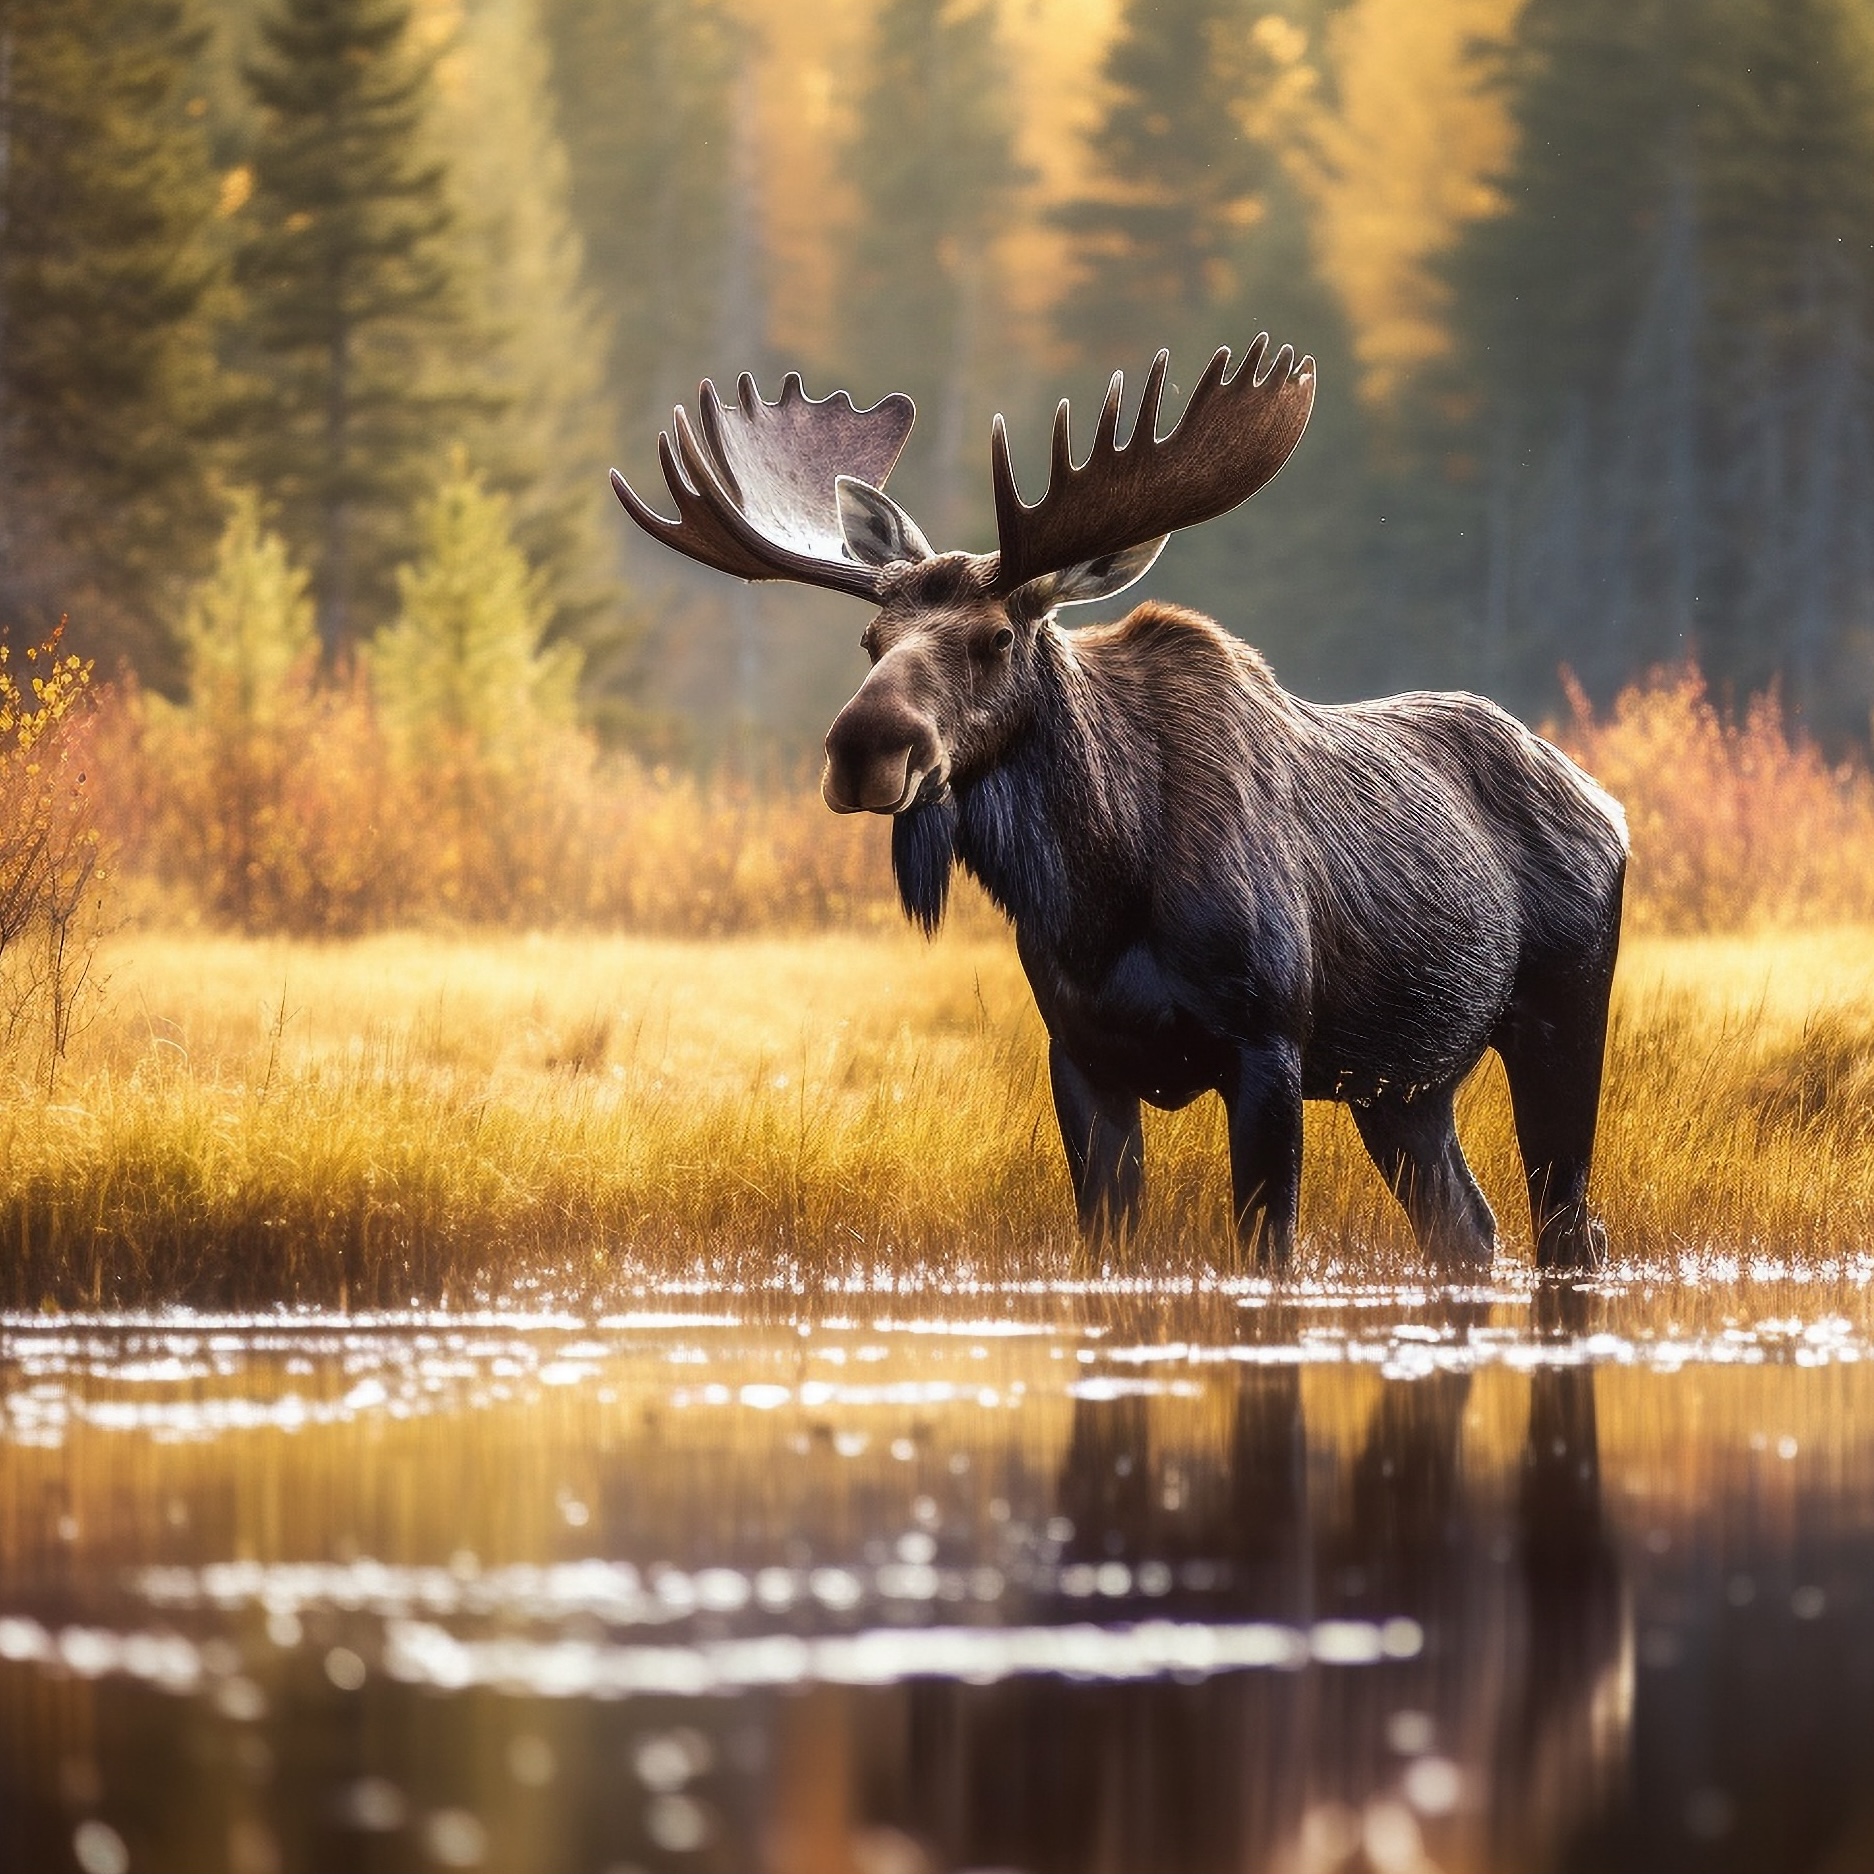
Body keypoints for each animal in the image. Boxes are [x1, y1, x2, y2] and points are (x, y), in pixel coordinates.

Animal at [611, 339, 1627, 1271]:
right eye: (871, 639)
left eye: (996, 636)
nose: (865, 749)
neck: (1102, 895)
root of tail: (1608, 805)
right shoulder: (1081, 1055)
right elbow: (1107, 1250)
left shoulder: (1269, 1048)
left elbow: (1267, 1252)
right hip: (1406, 1087)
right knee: (1468, 1228)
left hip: (1561, 1012)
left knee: (1570, 1226)